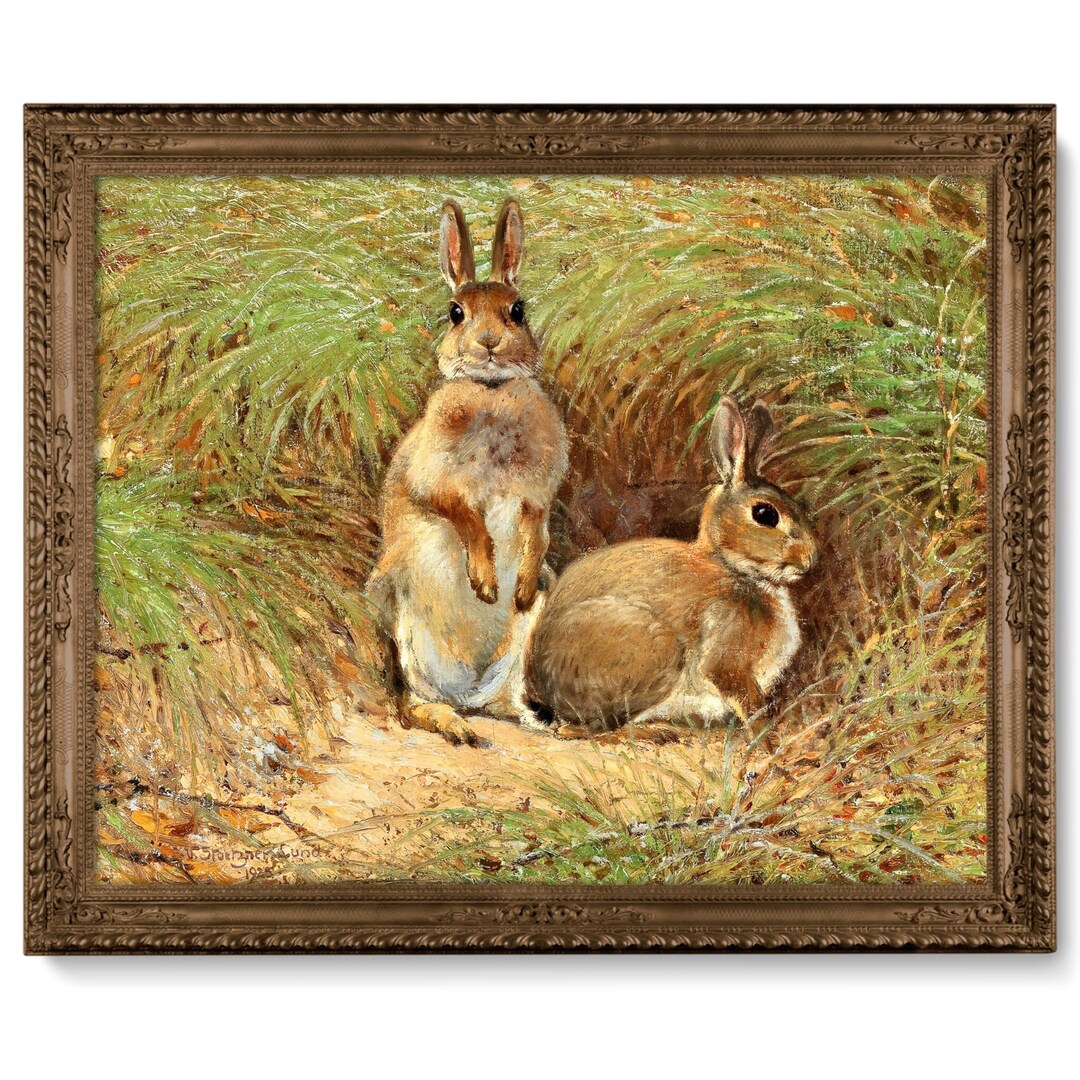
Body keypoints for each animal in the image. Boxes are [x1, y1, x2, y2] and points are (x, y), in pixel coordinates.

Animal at [366, 198, 568, 747]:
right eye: (456, 313)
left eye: (518, 310)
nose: (490, 342)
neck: (491, 392)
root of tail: (470, 690)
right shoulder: (433, 480)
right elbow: (464, 515)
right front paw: (484, 583)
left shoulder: (537, 494)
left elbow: (536, 528)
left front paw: (516, 587)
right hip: (404, 622)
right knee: (410, 701)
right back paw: (454, 725)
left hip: (522, 640)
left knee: (508, 699)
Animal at [526, 395, 817, 735]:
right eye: (765, 515)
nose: (810, 560)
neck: (733, 568)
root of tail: (541, 690)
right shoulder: (726, 654)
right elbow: (743, 696)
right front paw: (766, 729)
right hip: (657, 651)